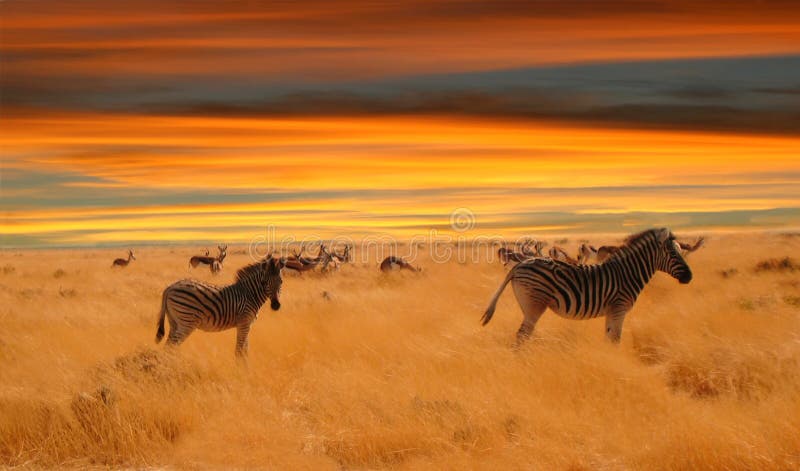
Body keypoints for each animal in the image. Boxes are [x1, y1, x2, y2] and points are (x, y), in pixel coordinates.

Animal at [155, 254, 286, 359]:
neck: (249, 294)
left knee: (168, 346)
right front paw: (241, 371)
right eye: (264, 282)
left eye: (281, 281)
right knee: (171, 346)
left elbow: (245, 350)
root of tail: (170, 287)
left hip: (174, 322)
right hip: (186, 322)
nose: (275, 305)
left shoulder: (247, 324)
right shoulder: (244, 323)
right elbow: (239, 351)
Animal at [481, 228, 692, 345]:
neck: (628, 272)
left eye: (681, 251)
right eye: (673, 254)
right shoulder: (619, 308)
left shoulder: (611, 312)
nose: (689, 277)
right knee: (522, 336)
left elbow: (608, 339)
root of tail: (519, 265)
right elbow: (615, 341)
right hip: (535, 304)